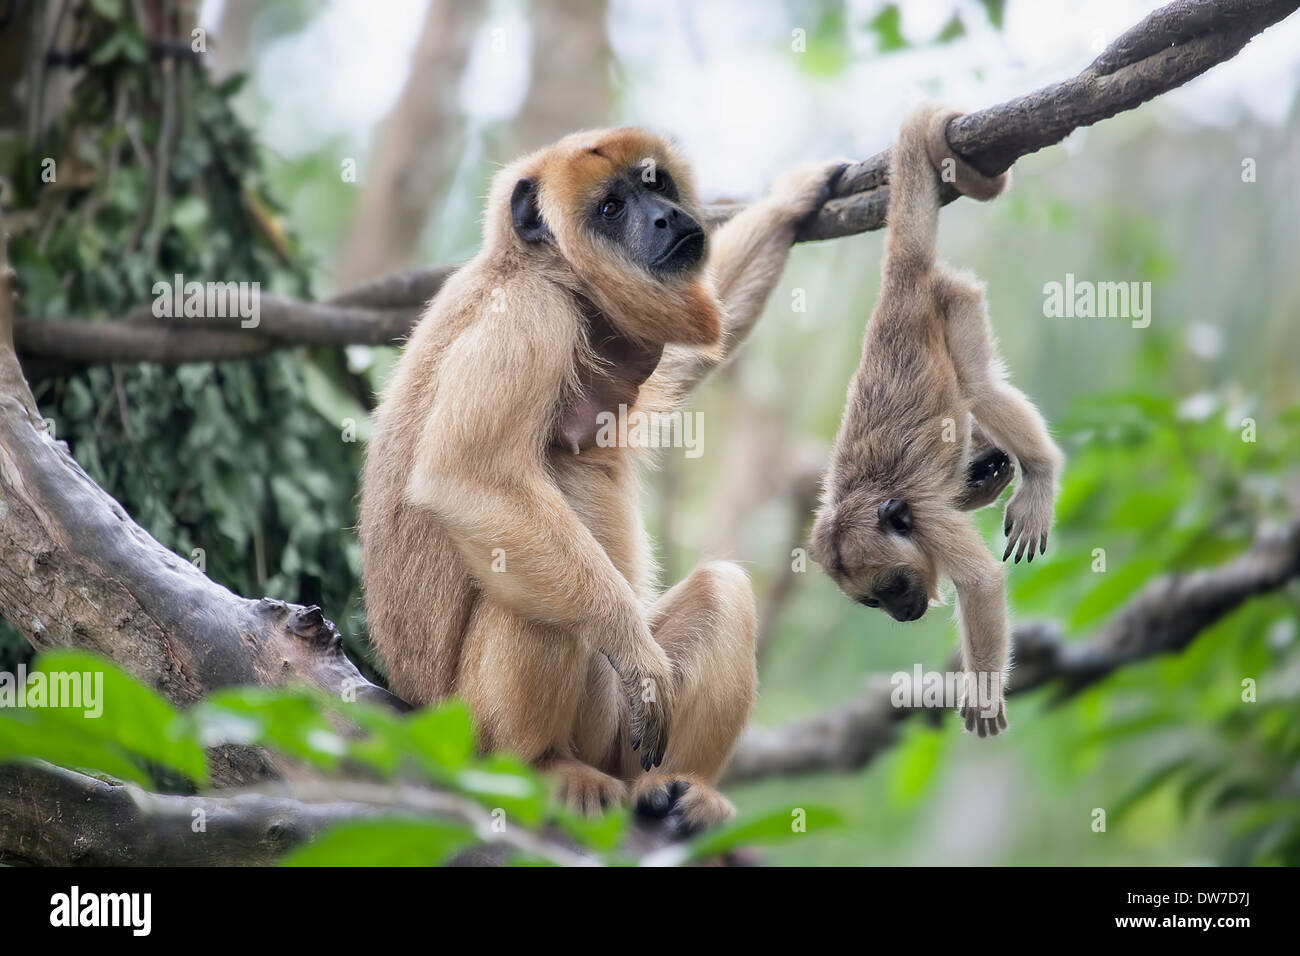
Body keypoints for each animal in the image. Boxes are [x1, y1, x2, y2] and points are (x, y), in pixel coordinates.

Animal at [359, 126, 844, 829]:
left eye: (653, 184)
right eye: (610, 209)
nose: (667, 217)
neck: (542, 270)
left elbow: (693, 357)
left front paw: (790, 199)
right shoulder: (528, 317)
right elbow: (466, 478)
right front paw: (630, 643)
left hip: (622, 739)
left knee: (723, 590)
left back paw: (679, 787)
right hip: (469, 732)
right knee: (533, 599)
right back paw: (545, 765)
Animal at [809, 104, 1064, 737]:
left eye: (894, 586)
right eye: (873, 603)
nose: (902, 615)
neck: (870, 501)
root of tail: (899, 284)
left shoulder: (928, 522)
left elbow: (981, 583)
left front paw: (984, 691)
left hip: (953, 299)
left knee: (980, 388)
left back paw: (1039, 473)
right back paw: (989, 471)